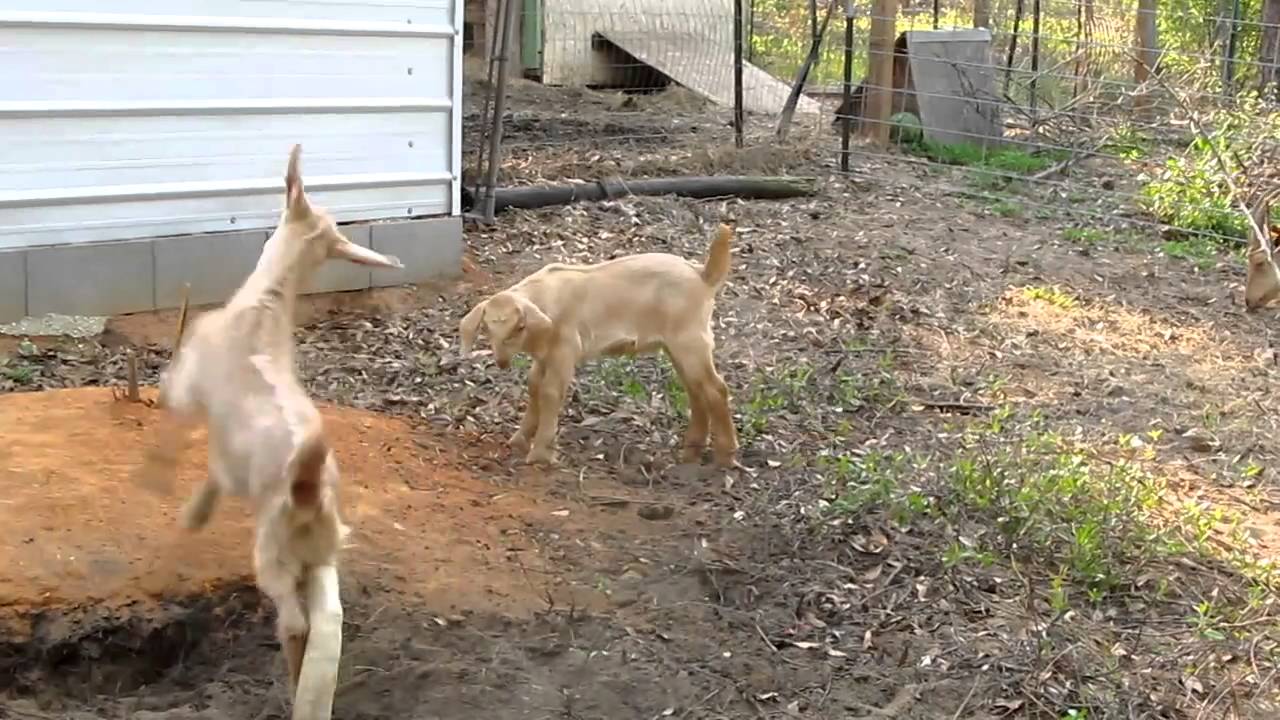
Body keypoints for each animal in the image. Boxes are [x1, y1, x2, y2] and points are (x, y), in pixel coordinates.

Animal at [459, 224, 738, 467]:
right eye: (487, 327)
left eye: (519, 326)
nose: (501, 361)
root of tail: (703, 275)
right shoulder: (545, 356)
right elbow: (534, 386)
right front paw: (518, 441)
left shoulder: (565, 349)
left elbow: (550, 392)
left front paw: (540, 455)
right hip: (678, 347)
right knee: (696, 390)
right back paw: (691, 453)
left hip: (690, 341)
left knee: (716, 389)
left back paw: (725, 456)